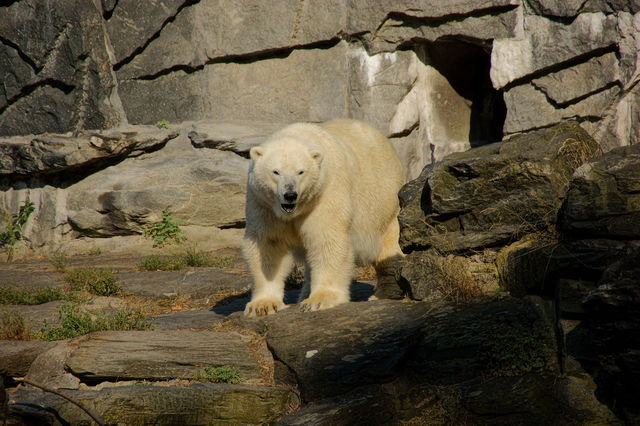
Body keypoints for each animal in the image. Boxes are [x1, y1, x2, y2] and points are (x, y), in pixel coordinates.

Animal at [242, 119, 404, 316]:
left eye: (301, 172)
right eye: (275, 172)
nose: (290, 195)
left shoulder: (325, 193)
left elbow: (326, 239)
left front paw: (319, 300)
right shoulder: (264, 204)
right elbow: (268, 245)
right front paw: (262, 305)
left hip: (384, 199)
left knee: (389, 243)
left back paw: (385, 292)